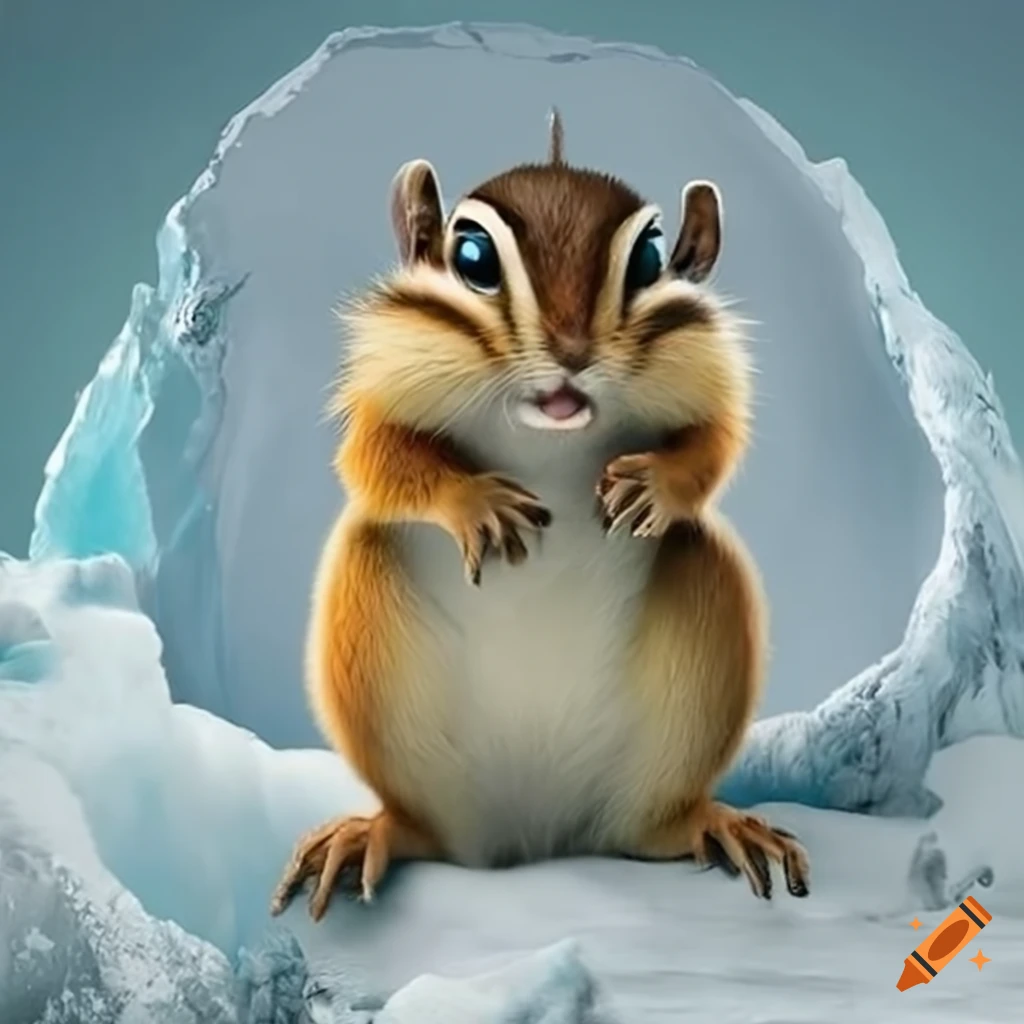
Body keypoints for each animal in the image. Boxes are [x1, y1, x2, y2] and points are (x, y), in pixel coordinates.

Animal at [271, 110, 810, 923]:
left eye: (650, 258)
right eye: (470, 255)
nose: (572, 351)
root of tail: (540, 840)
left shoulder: (706, 378)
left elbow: (714, 444)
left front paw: (656, 484)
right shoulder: (383, 390)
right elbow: (377, 461)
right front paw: (477, 503)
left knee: (653, 826)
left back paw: (712, 823)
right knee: (422, 830)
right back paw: (372, 834)